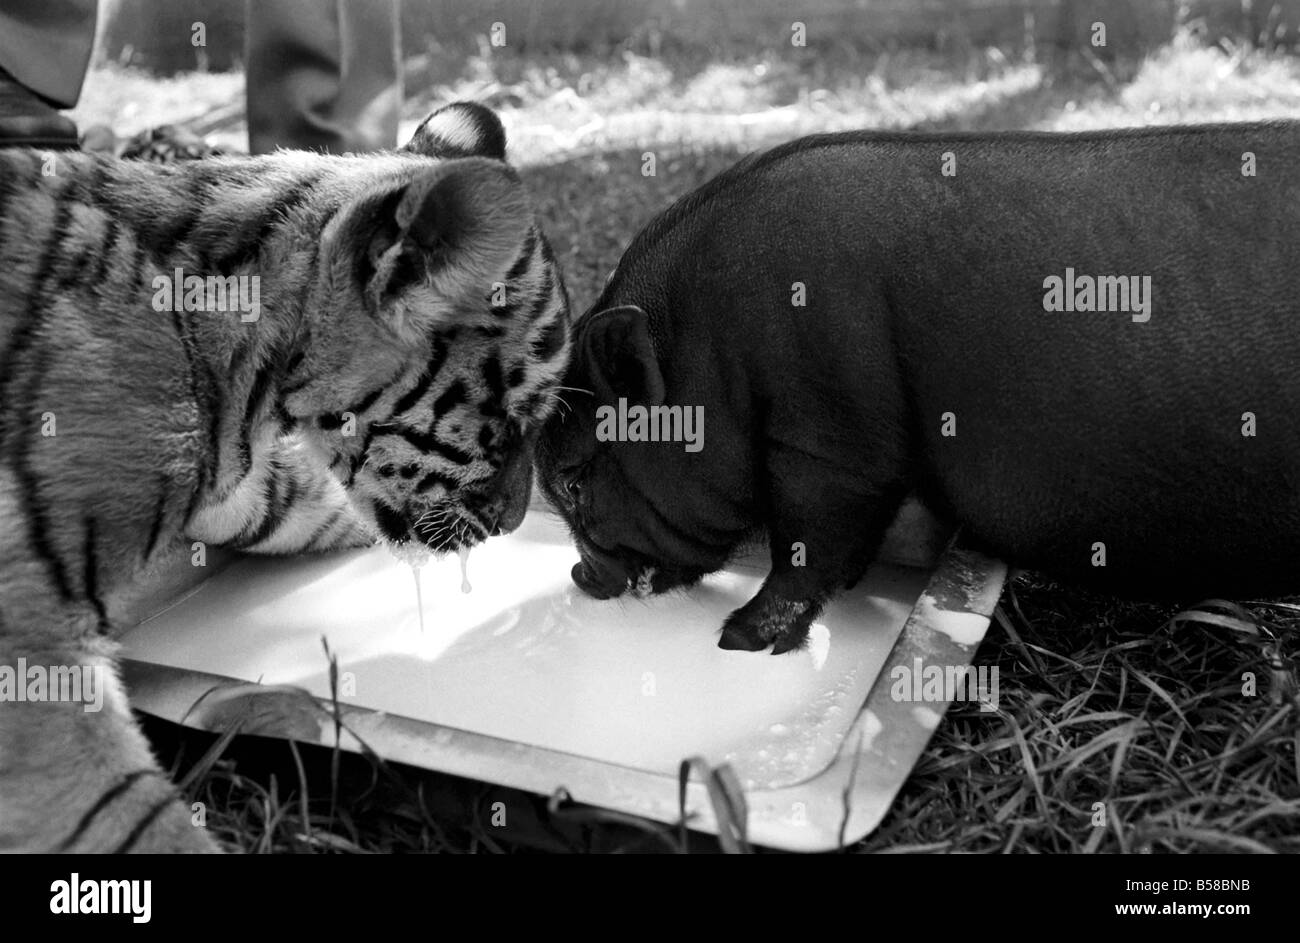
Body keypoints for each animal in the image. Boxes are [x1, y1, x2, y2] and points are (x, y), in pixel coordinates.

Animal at [0, 101, 571, 852]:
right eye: (508, 424)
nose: (513, 523)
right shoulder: (29, 633)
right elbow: (127, 816)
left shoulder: (244, 480)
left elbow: (307, 505)